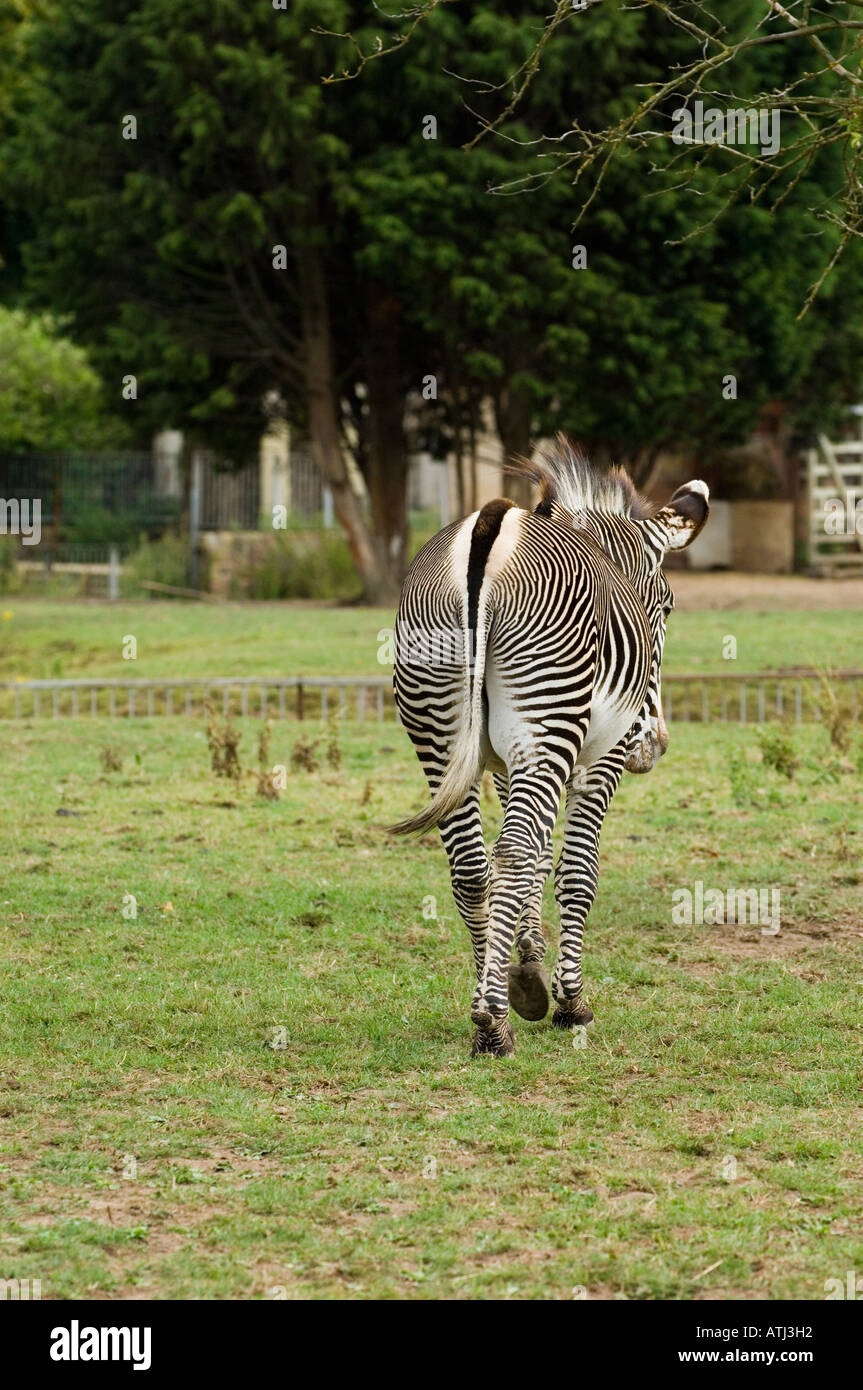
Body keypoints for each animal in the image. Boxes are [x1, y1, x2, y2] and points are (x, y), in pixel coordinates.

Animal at [390, 437, 709, 1058]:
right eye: (666, 604)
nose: (654, 745)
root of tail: (489, 531)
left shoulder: (506, 761)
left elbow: (536, 858)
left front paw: (528, 969)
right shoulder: (597, 759)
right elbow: (575, 871)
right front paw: (568, 1000)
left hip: (441, 735)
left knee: (474, 866)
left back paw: (492, 1008)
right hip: (549, 721)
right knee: (510, 856)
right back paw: (493, 1023)